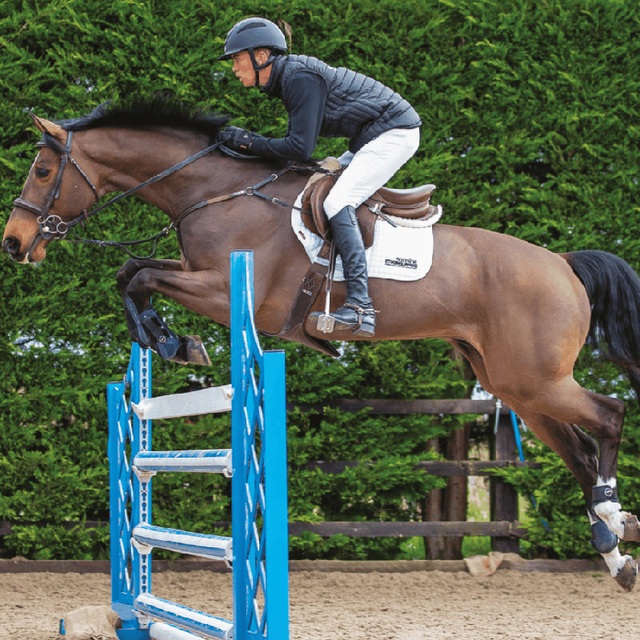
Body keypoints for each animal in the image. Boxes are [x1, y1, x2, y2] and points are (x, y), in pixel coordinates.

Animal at [4, 101, 640, 591]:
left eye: (42, 170)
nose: (13, 243)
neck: (216, 192)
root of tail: (562, 263)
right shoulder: (195, 273)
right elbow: (132, 272)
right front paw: (168, 340)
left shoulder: (222, 290)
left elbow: (137, 277)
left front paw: (174, 342)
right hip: (516, 382)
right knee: (579, 451)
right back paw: (614, 551)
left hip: (536, 378)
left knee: (609, 415)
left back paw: (613, 516)